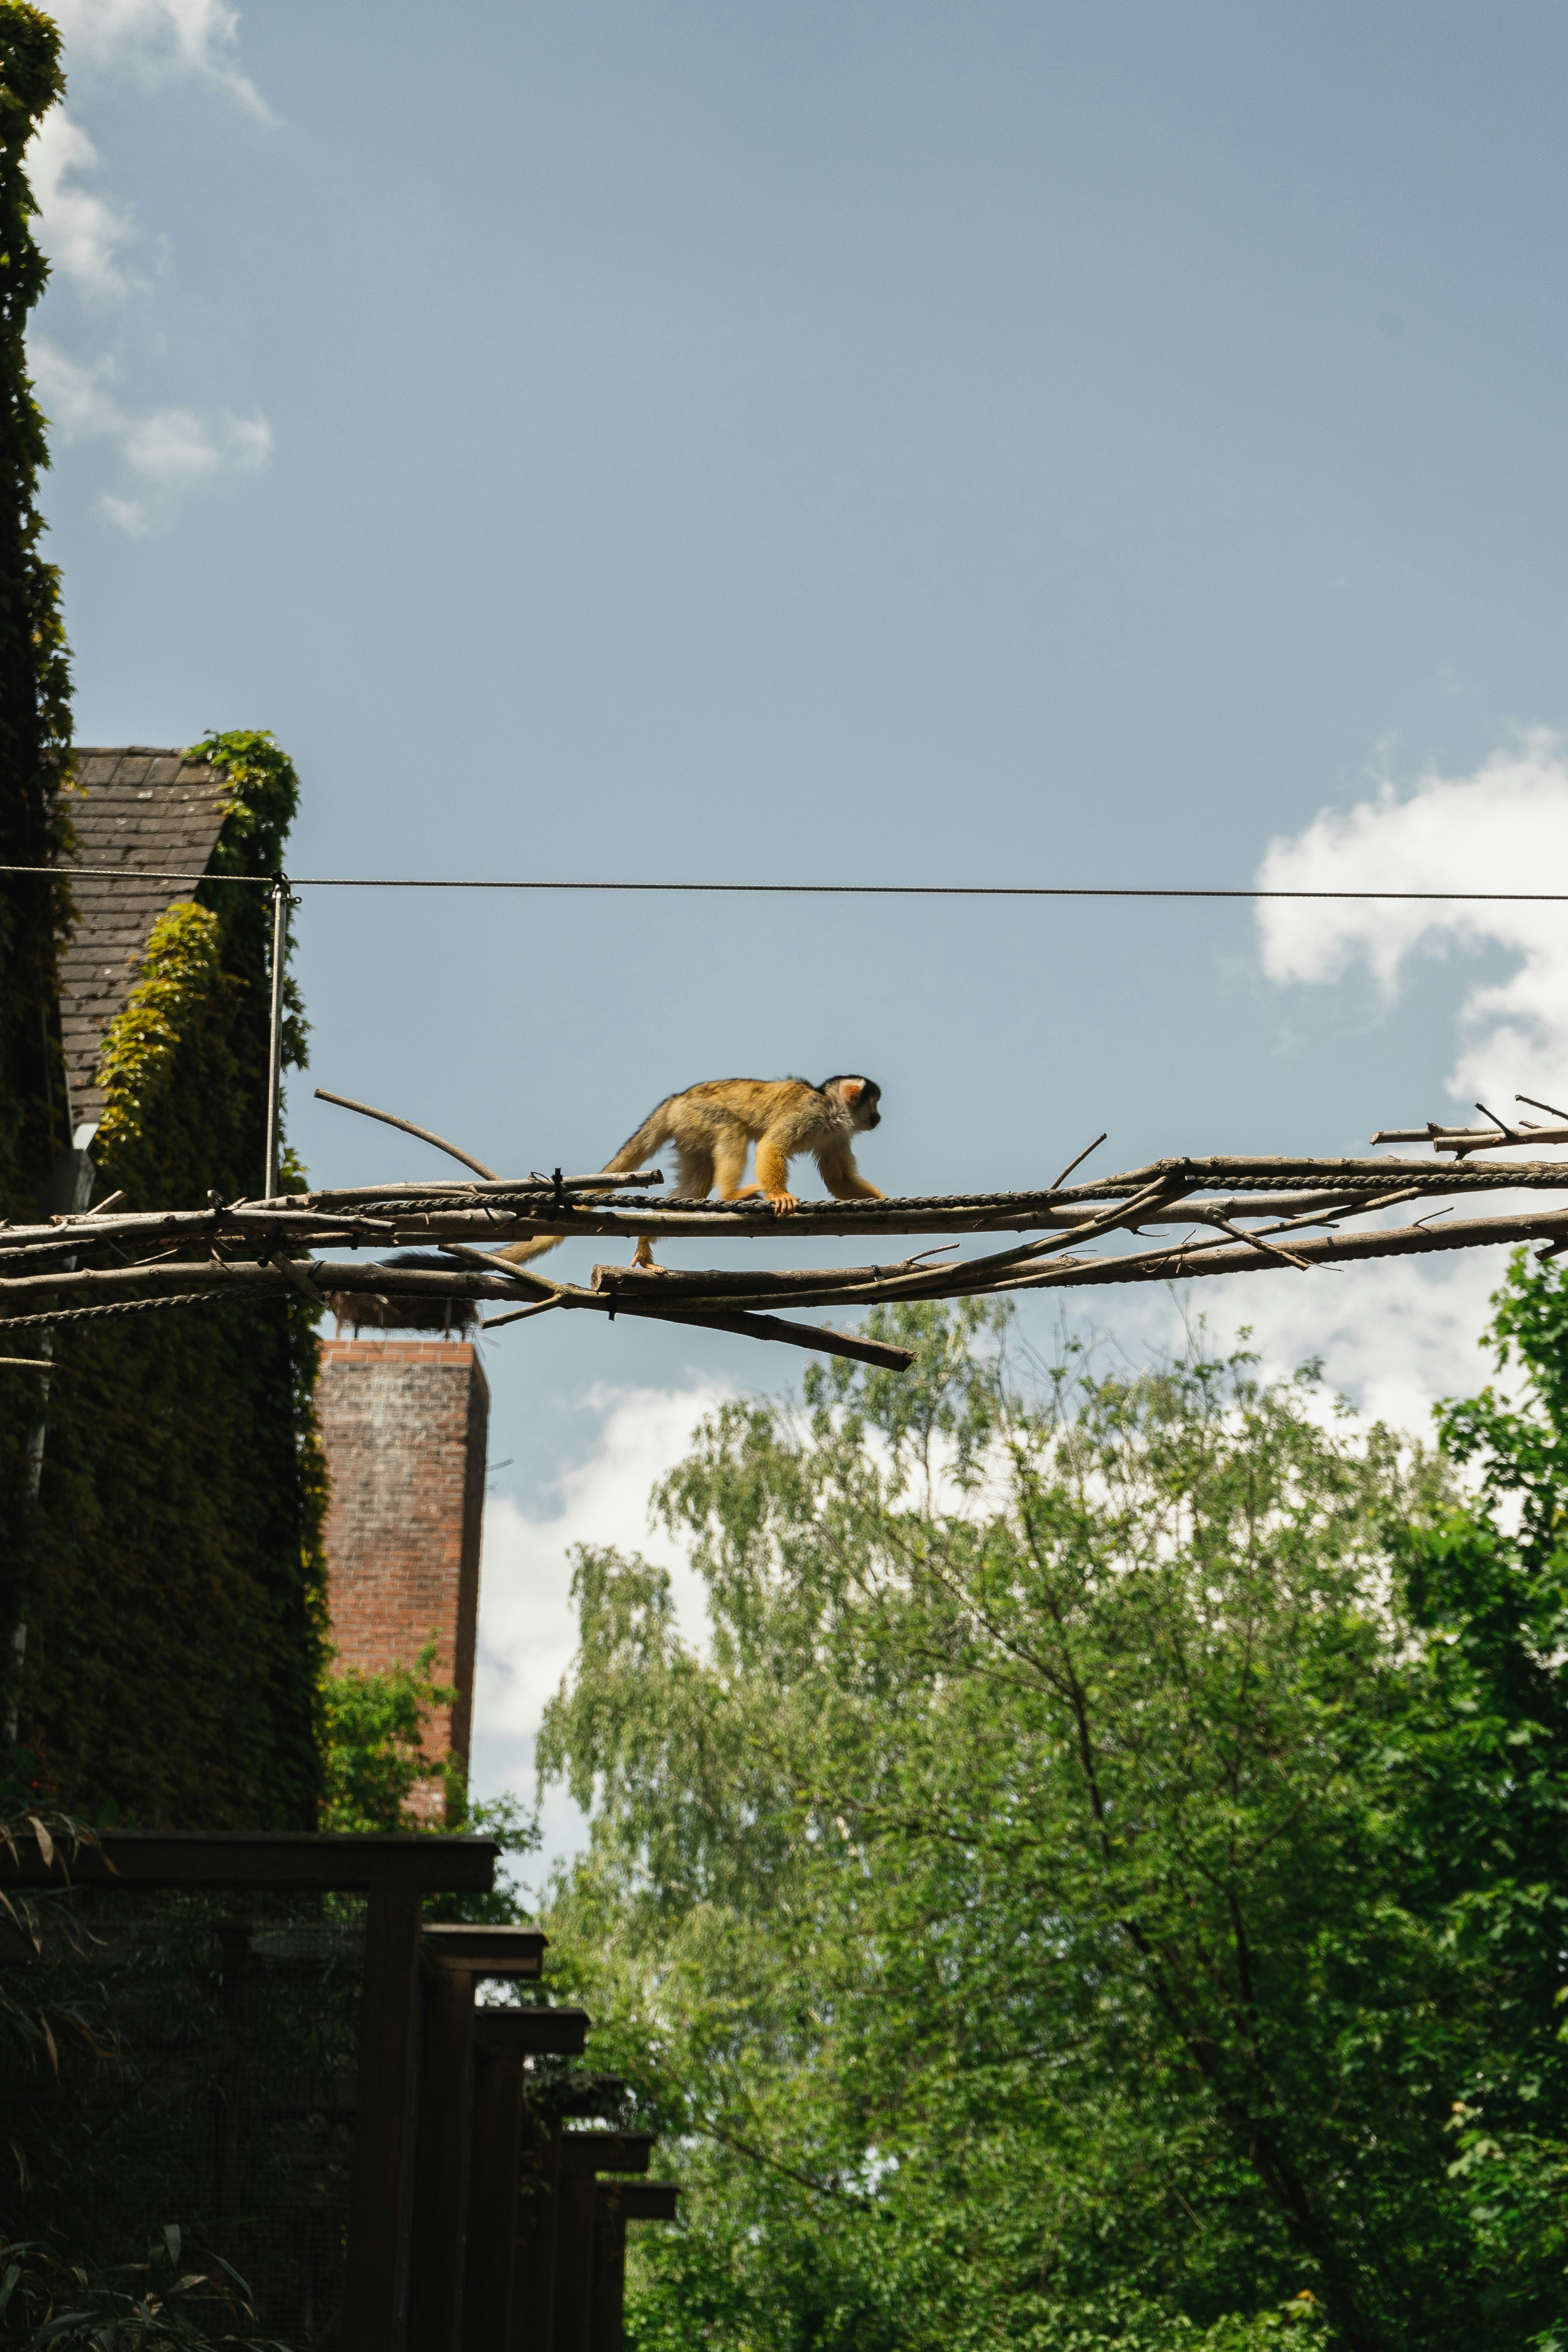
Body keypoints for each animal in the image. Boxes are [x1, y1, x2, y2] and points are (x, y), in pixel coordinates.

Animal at [496, 1075, 885, 1272]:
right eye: (874, 1102)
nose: (878, 1117)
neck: (833, 1111)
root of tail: (675, 1101)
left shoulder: (836, 1133)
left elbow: (838, 1179)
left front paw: (883, 1204)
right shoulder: (810, 1115)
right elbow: (771, 1146)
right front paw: (779, 1195)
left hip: (690, 1131)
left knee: (695, 1188)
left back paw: (649, 1237)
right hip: (699, 1113)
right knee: (732, 1129)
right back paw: (731, 1195)